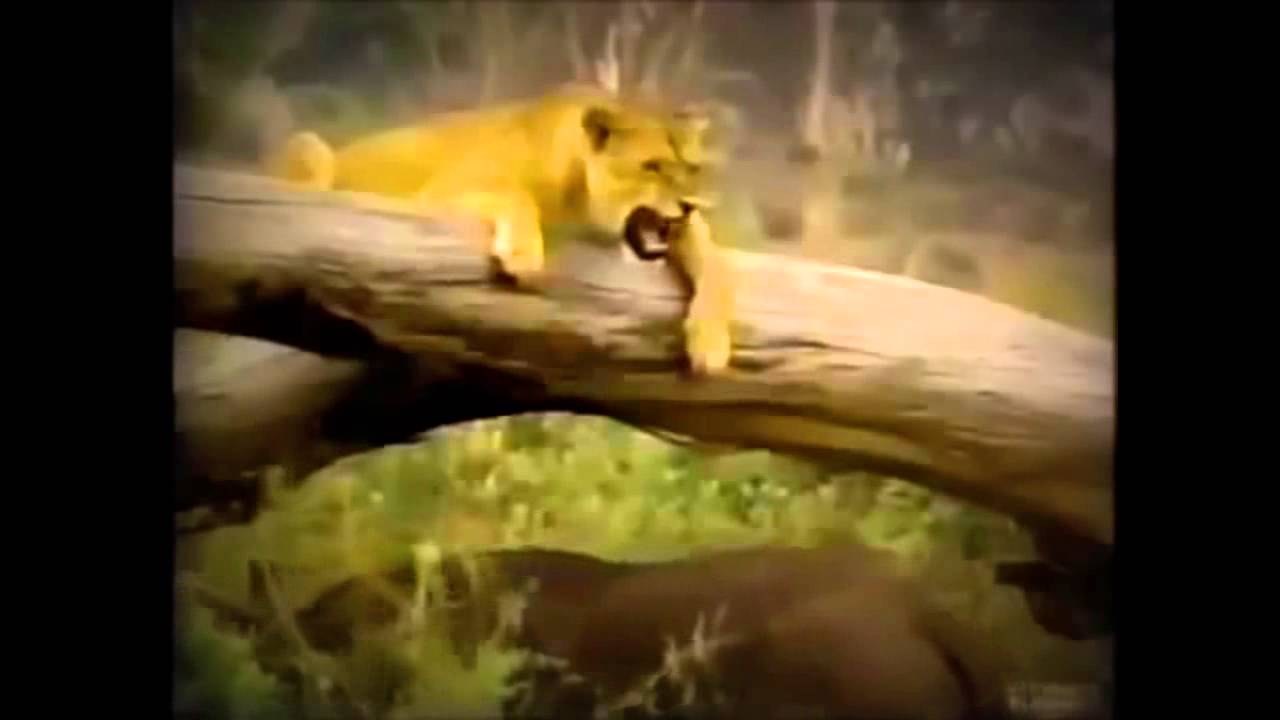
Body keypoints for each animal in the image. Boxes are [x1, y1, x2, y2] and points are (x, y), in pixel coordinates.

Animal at [262, 83, 734, 375]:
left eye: (693, 168)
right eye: (651, 166)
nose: (688, 204)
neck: (581, 200)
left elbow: (713, 260)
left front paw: (712, 343)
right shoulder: (441, 192)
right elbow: (514, 193)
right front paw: (522, 255)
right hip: (308, 145)